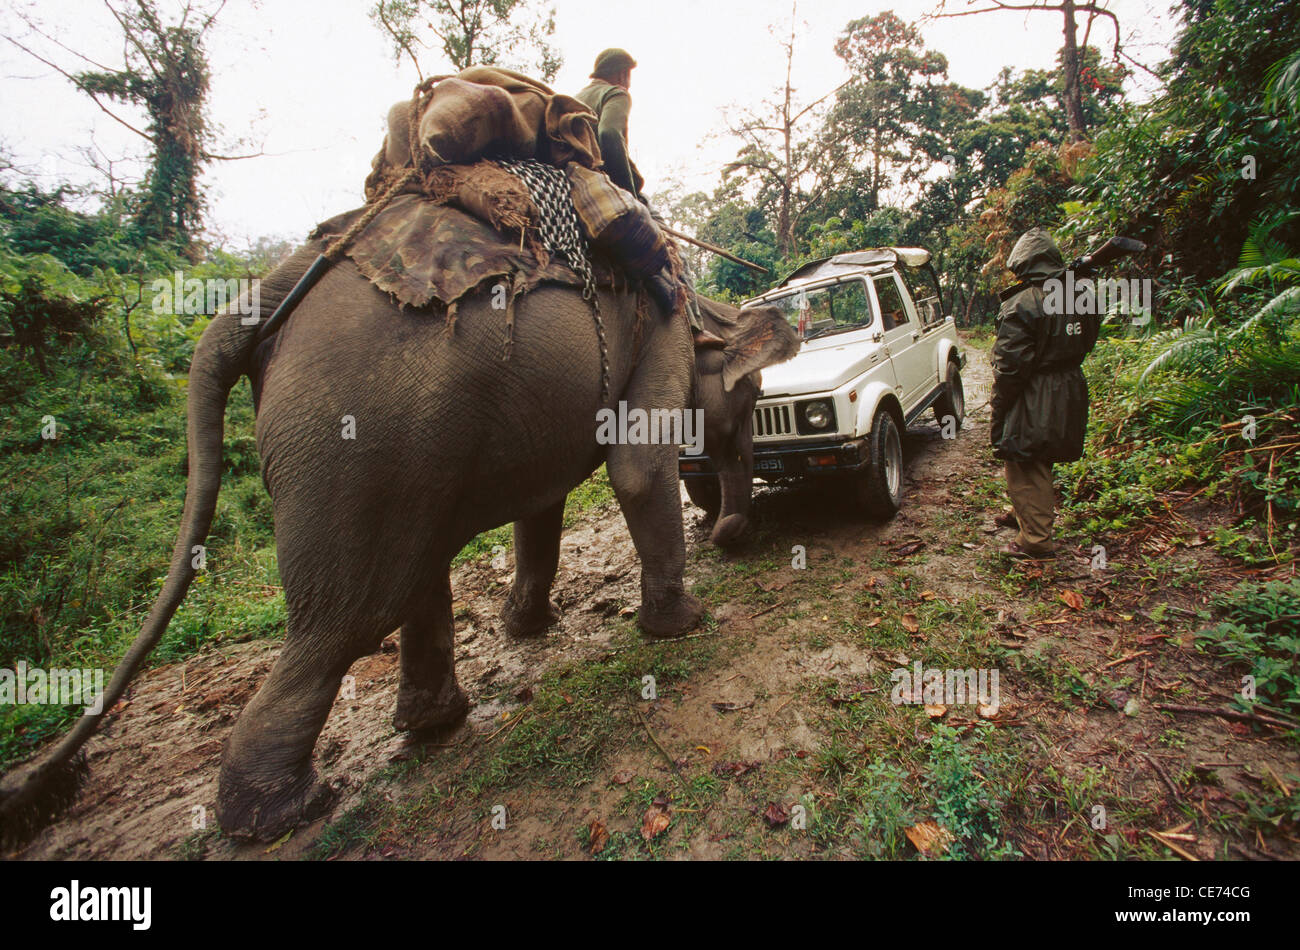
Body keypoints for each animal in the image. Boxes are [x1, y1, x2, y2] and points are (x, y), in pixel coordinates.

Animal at [0, 220, 799, 842]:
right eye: (752, 393)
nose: (733, 535)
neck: (701, 303)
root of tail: (261, 293)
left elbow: (541, 501)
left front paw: (526, 628)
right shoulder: (657, 331)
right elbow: (633, 468)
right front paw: (684, 623)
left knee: (414, 564)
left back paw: (432, 723)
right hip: (352, 430)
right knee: (348, 617)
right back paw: (287, 812)